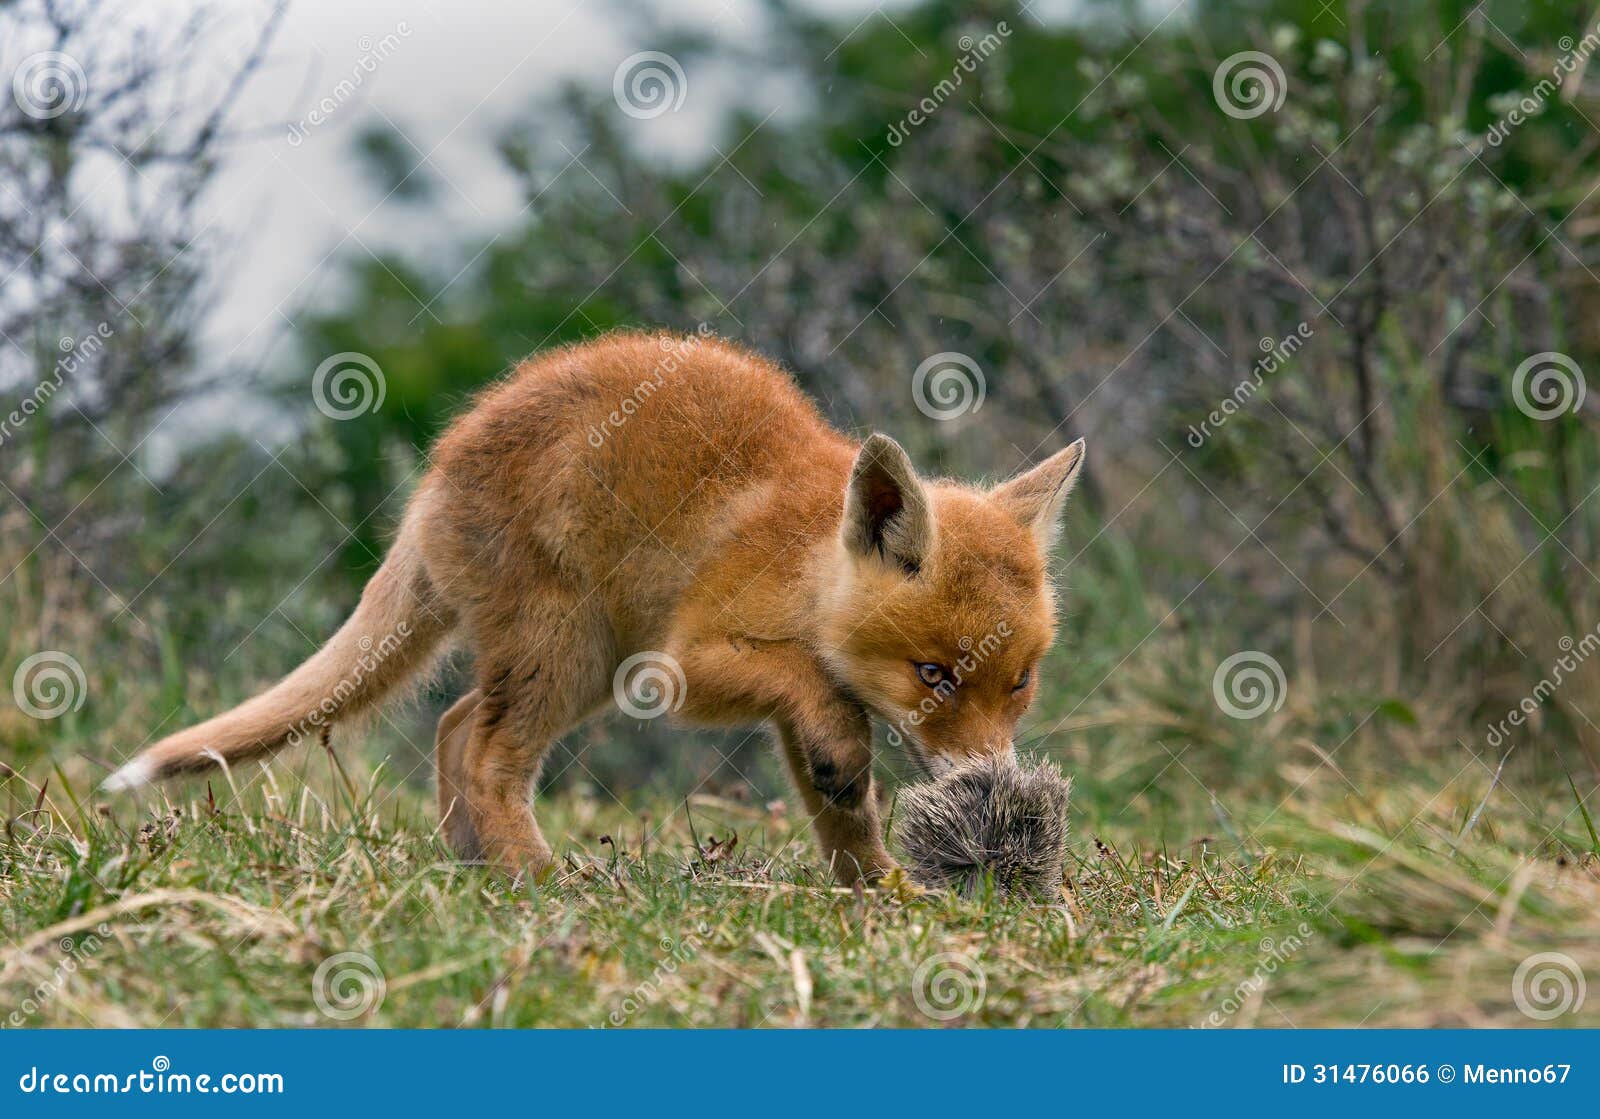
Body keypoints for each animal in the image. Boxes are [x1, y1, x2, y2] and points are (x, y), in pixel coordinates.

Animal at [103, 331, 1086, 884]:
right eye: (934, 674)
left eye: (1019, 683)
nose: (992, 778)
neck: (803, 564)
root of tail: (432, 477)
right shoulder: (685, 665)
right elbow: (821, 703)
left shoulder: (775, 710)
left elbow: (843, 810)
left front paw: (882, 893)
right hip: (576, 653)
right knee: (486, 754)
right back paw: (540, 882)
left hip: (579, 665)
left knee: (454, 728)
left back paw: (479, 870)